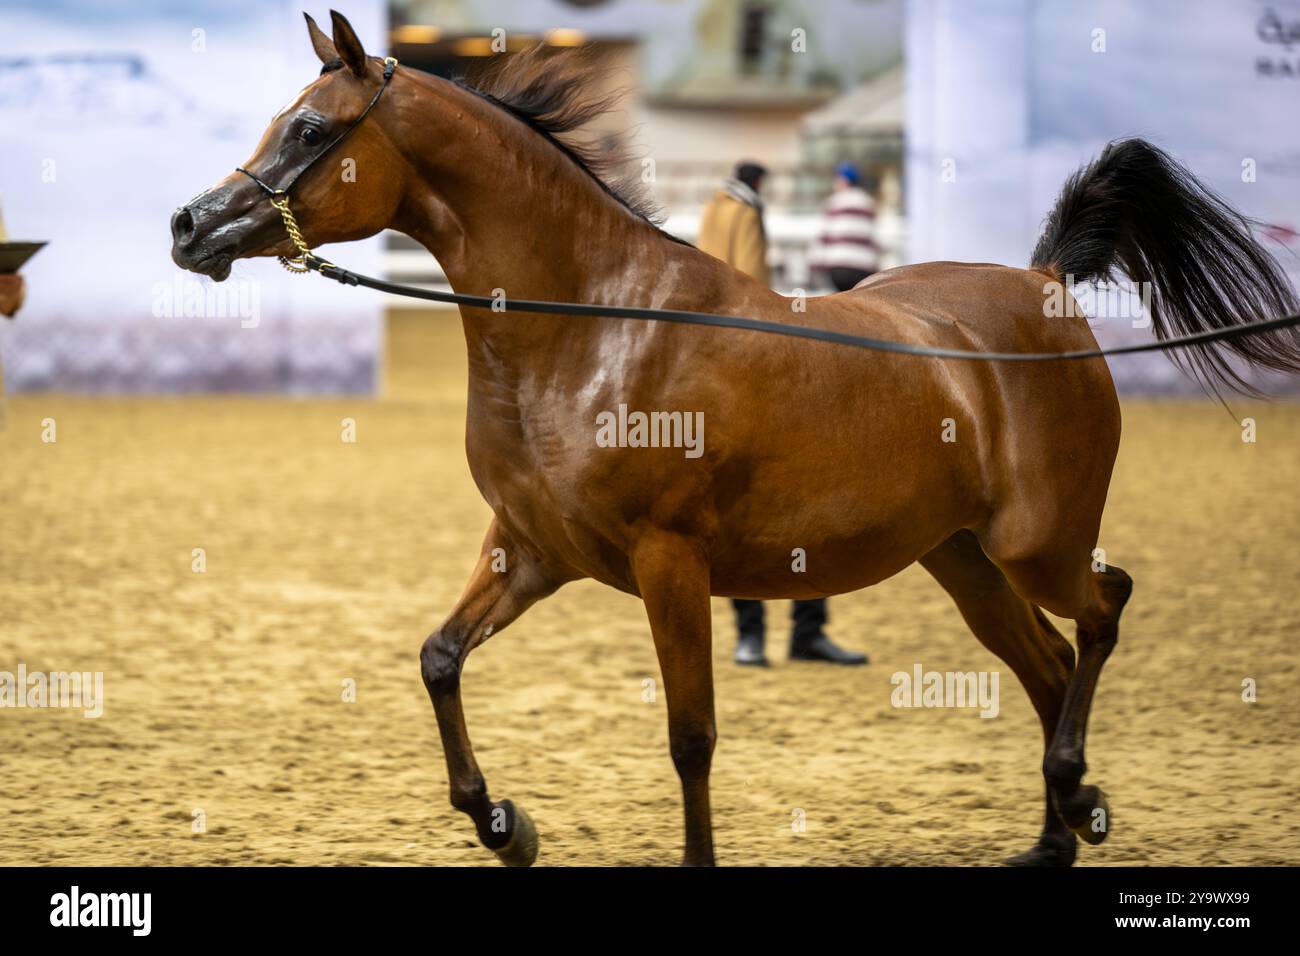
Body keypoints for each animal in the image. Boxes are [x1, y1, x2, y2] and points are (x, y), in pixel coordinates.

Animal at [170, 11, 1300, 866]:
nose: (190, 225)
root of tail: (1044, 282)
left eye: (310, 130)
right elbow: (440, 659)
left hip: (1038, 543)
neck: (590, 327)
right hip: (963, 559)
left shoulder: (670, 562)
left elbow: (691, 738)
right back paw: (1057, 834)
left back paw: (1078, 796)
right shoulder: (531, 549)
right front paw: (504, 823)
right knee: (1047, 662)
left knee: (1103, 612)